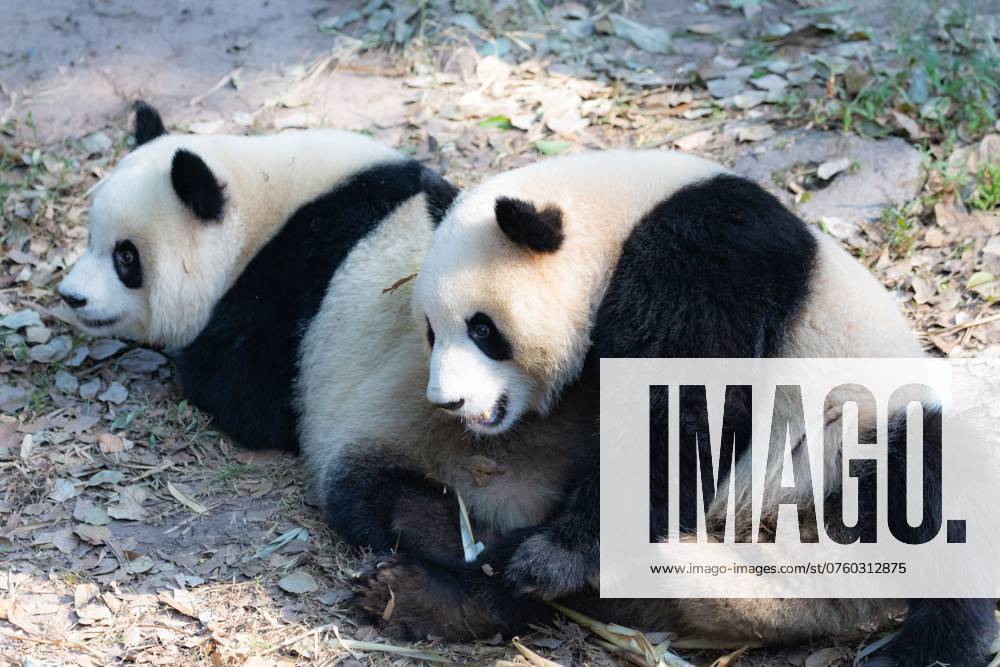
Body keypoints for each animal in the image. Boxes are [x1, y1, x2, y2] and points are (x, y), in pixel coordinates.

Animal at [338, 150, 996, 666]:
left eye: (482, 329)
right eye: (430, 331)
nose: (448, 400)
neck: (615, 214)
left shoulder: (705, 254)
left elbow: (681, 405)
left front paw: (555, 558)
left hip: (857, 428)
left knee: (929, 487)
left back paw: (932, 648)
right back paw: (417, 583)